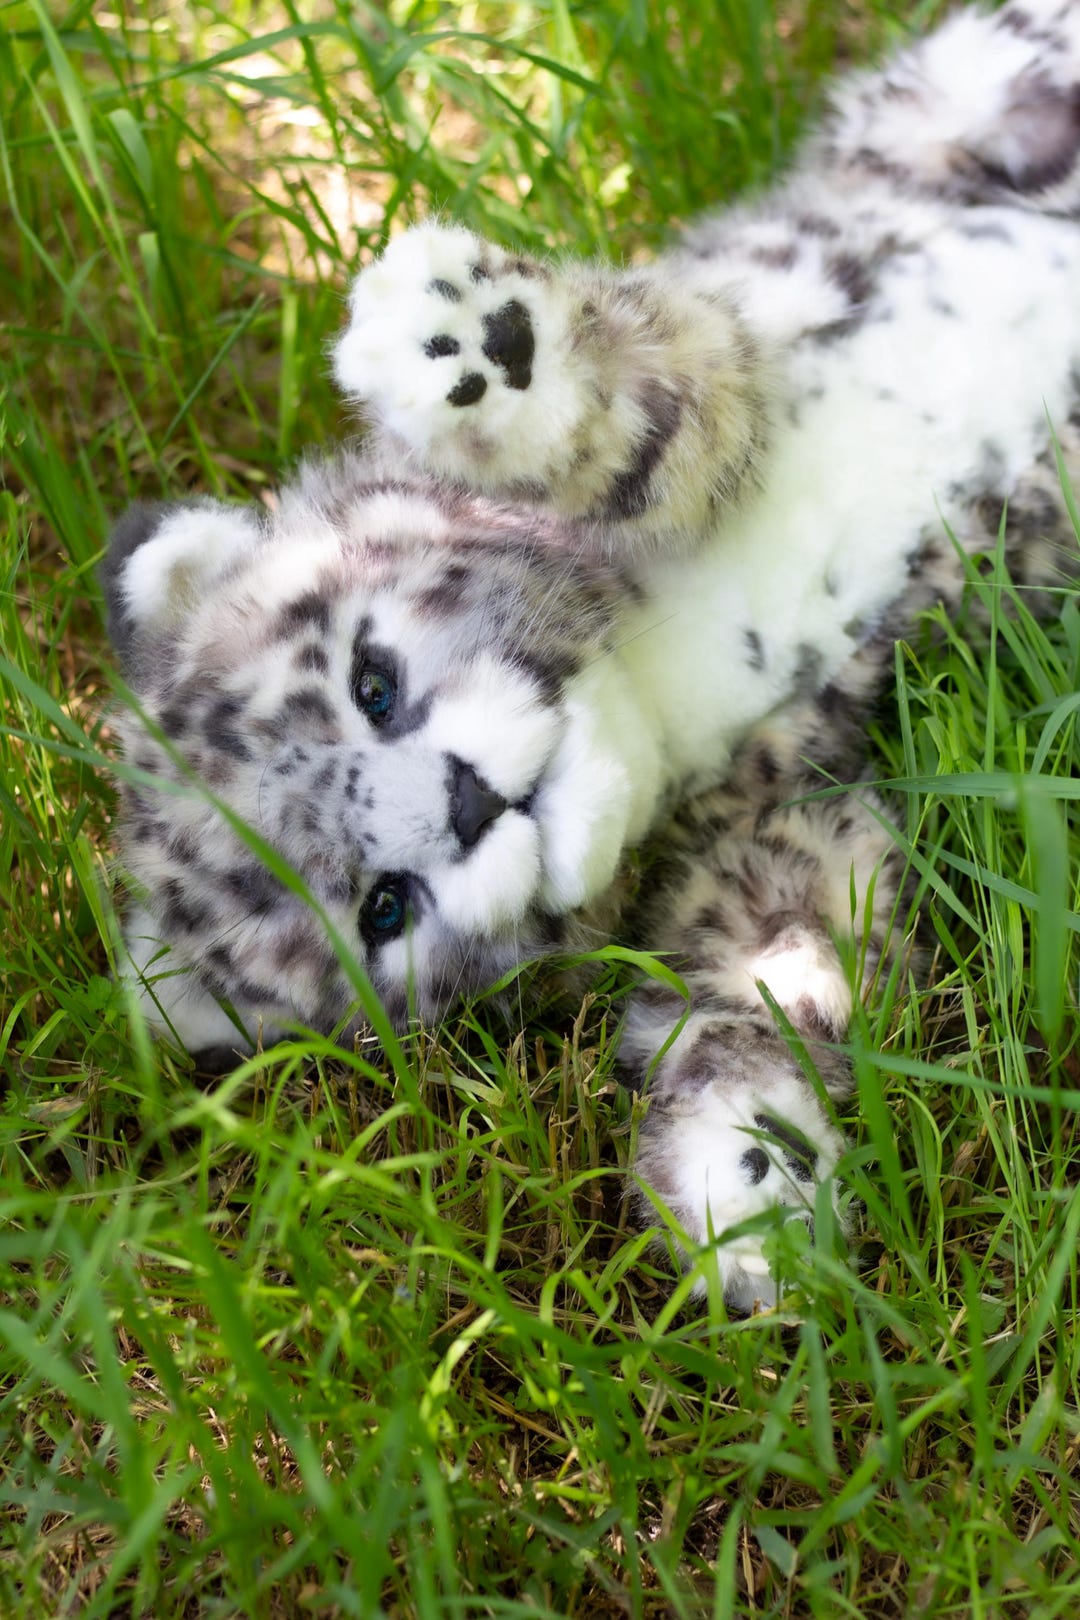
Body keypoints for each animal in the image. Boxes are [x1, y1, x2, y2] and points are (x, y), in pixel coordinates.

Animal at [101, 0, 1080, 1311]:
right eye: (383, 909)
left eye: (373, 683)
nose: (468, 801)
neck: (667, 680)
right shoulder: (768, 824)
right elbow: (765, 976)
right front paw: (745, 1180)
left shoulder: (735, 335)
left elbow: (652, 409)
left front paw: (469, 346)